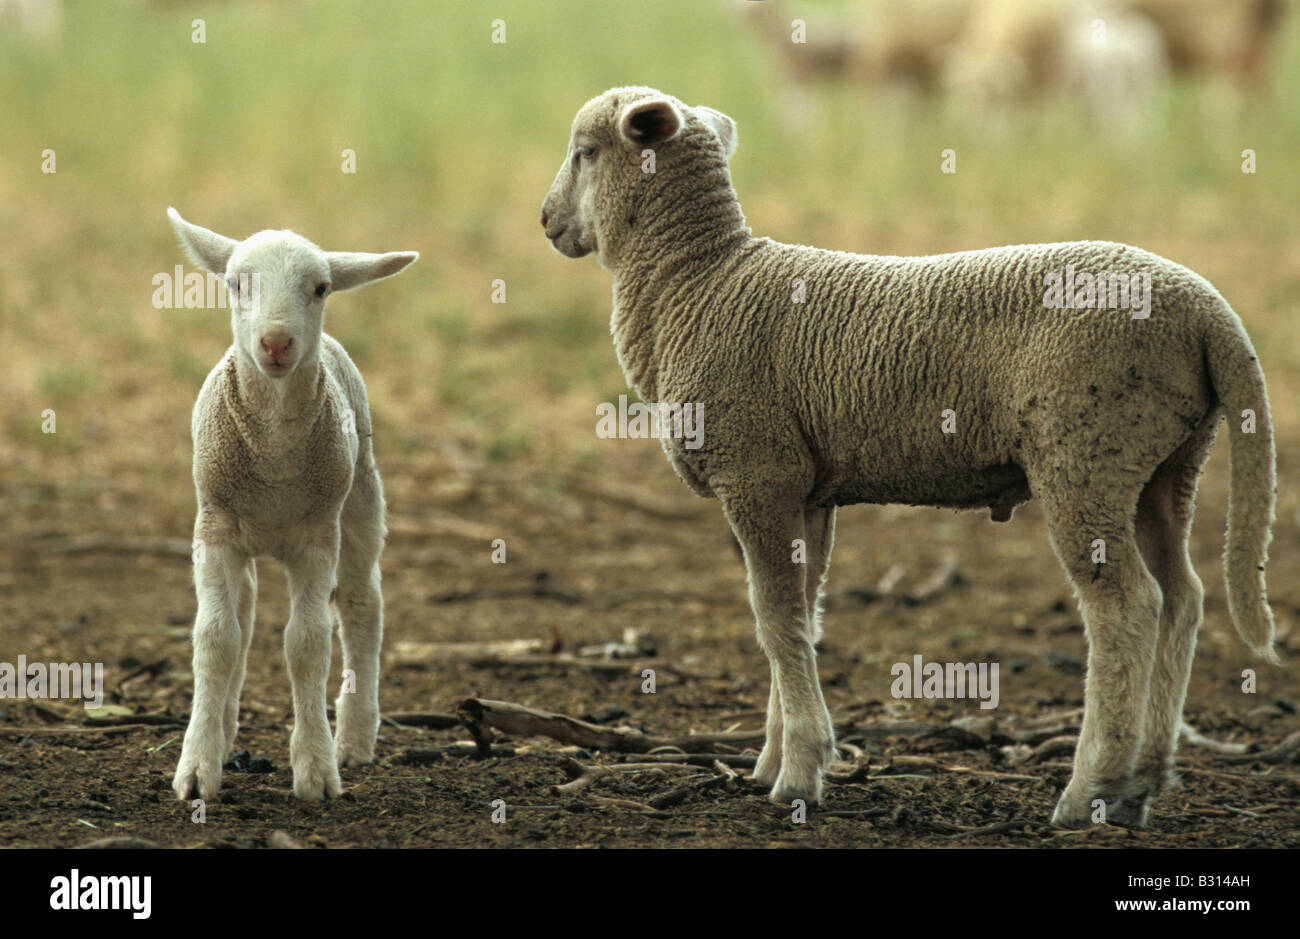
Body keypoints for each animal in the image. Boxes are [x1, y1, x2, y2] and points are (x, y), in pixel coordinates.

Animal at [165, 208, 417, 802]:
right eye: (236, 283)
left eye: (320, 288)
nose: (276, 342)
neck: (276, 463)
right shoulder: (215, 528)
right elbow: (216, 639)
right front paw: (197, 768)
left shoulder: (315, 535)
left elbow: (307, 644)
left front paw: (317, 770)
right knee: (245, 613)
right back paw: (225, 730)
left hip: (361, 497)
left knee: (362, 604)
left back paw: (354, 739)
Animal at [539, 87, 1278, 827]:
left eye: (585, 152)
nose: (545, 221)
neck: (695, 284)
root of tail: (1209, 312)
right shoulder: (807, 489)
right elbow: (800, 615)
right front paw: (775, 761)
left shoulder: (757, 472)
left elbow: (773, 618)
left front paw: (799, 772)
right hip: (1165, 462)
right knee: (1183, 596)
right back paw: (1142, 782)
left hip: (1086, 454)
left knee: (1127, 606)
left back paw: (1090, 788)